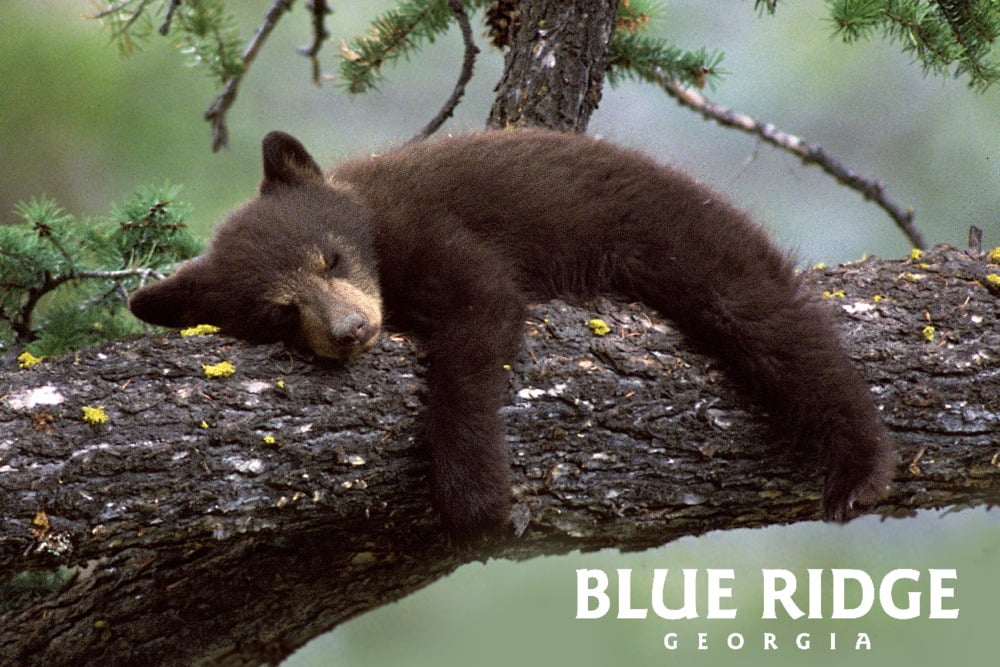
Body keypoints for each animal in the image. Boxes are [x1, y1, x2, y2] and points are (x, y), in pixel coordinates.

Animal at [129, 129, 896, 538]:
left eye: (331, 257)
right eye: (278, 312)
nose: (351, 329)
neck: (374, 229)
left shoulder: (429, 231)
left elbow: (479, 321)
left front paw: (473, 495)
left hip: (684, 238)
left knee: (773, 324)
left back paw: (858, 466)